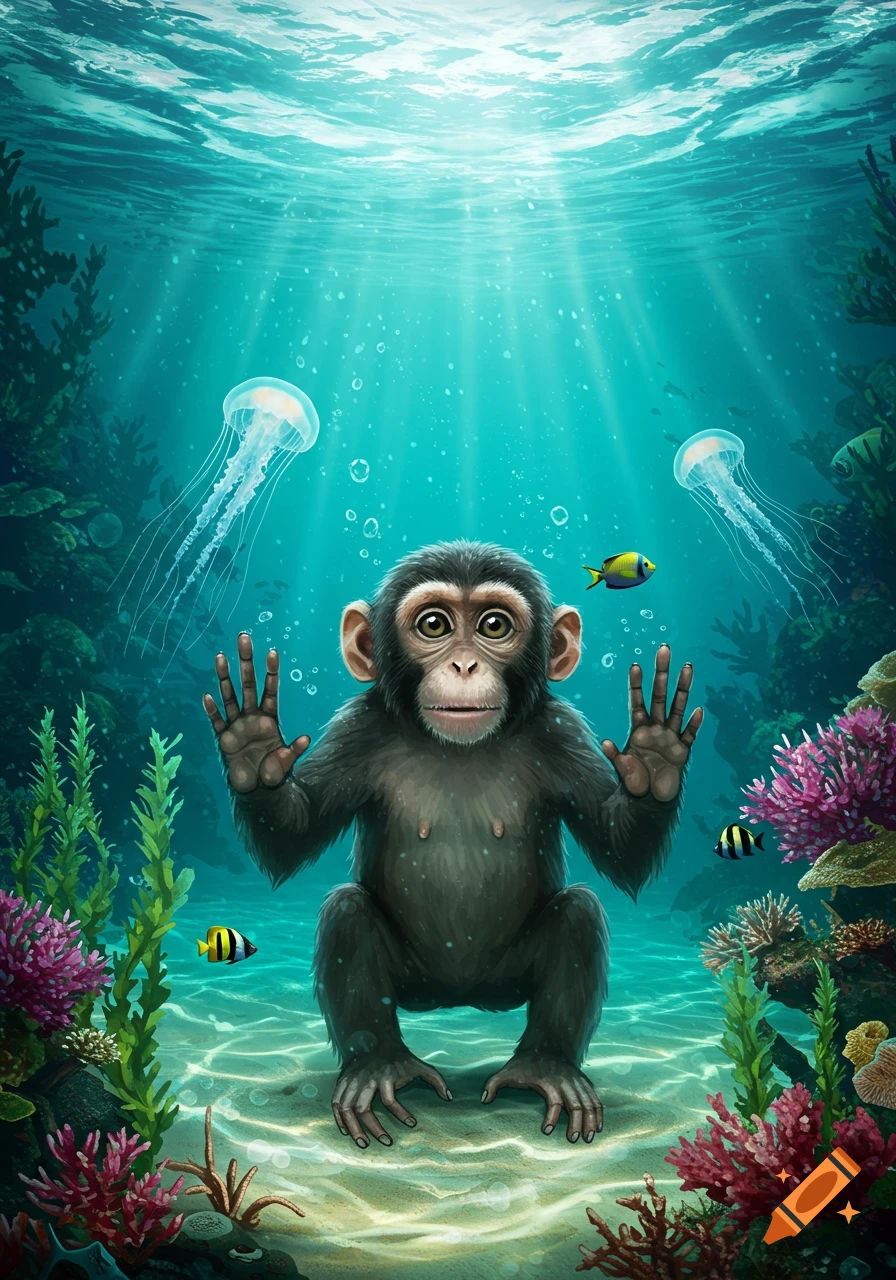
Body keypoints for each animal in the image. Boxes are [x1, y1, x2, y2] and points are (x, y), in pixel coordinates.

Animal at [203, 540, 702, 1149]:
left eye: (494, 625)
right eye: (434, 625)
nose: (464, 665)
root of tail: (461, 997)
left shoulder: (559, 734)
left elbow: (618, 852)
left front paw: (655, 757)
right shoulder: (357, 732)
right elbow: (293, 838)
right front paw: (253, 747)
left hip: (504, 980)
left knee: (579, 912)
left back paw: (546, 1067)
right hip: (416, 984)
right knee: (347, 910)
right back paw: (380, 1066)